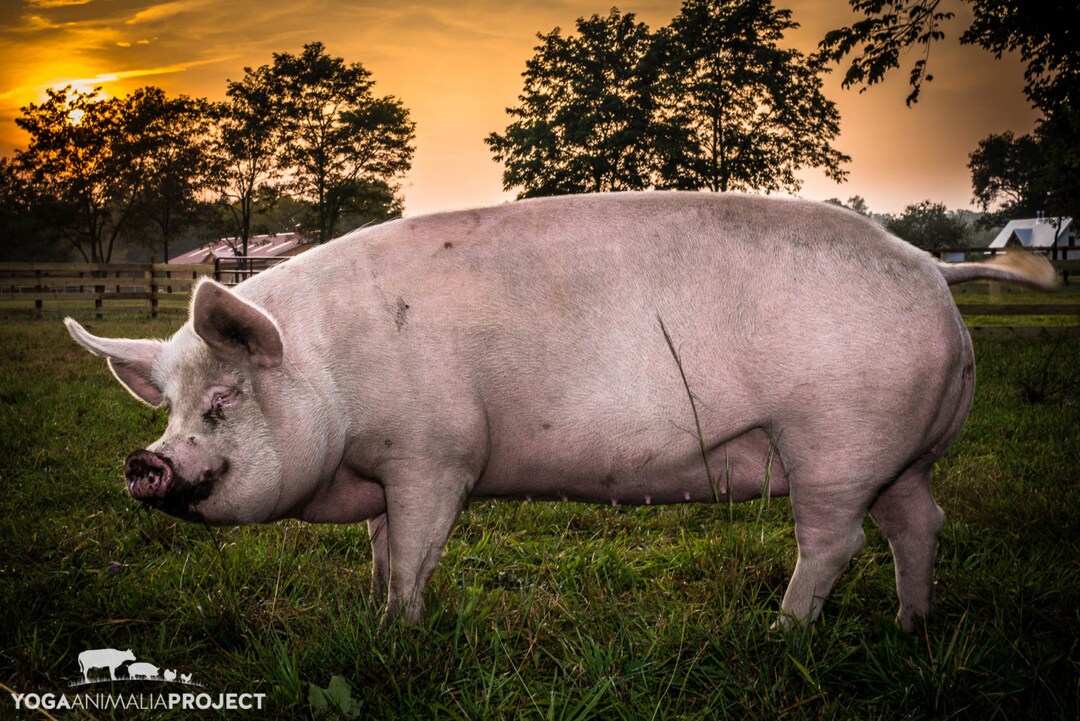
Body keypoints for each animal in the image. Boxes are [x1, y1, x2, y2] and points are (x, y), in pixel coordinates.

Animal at [65, 192, 1057, 631]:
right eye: (170, 406)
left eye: (223, 400)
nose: (145, 461)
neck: (335, 379)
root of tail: (936, 271)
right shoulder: (388, 466)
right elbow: (381, 549)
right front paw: (376, 612)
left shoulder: (437, 453)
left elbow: (416, 550)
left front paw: (397, 632)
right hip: (897, 450)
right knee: (921, 521)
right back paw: (911, 627)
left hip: (836, 438)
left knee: (836, 539)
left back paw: (781, 633)